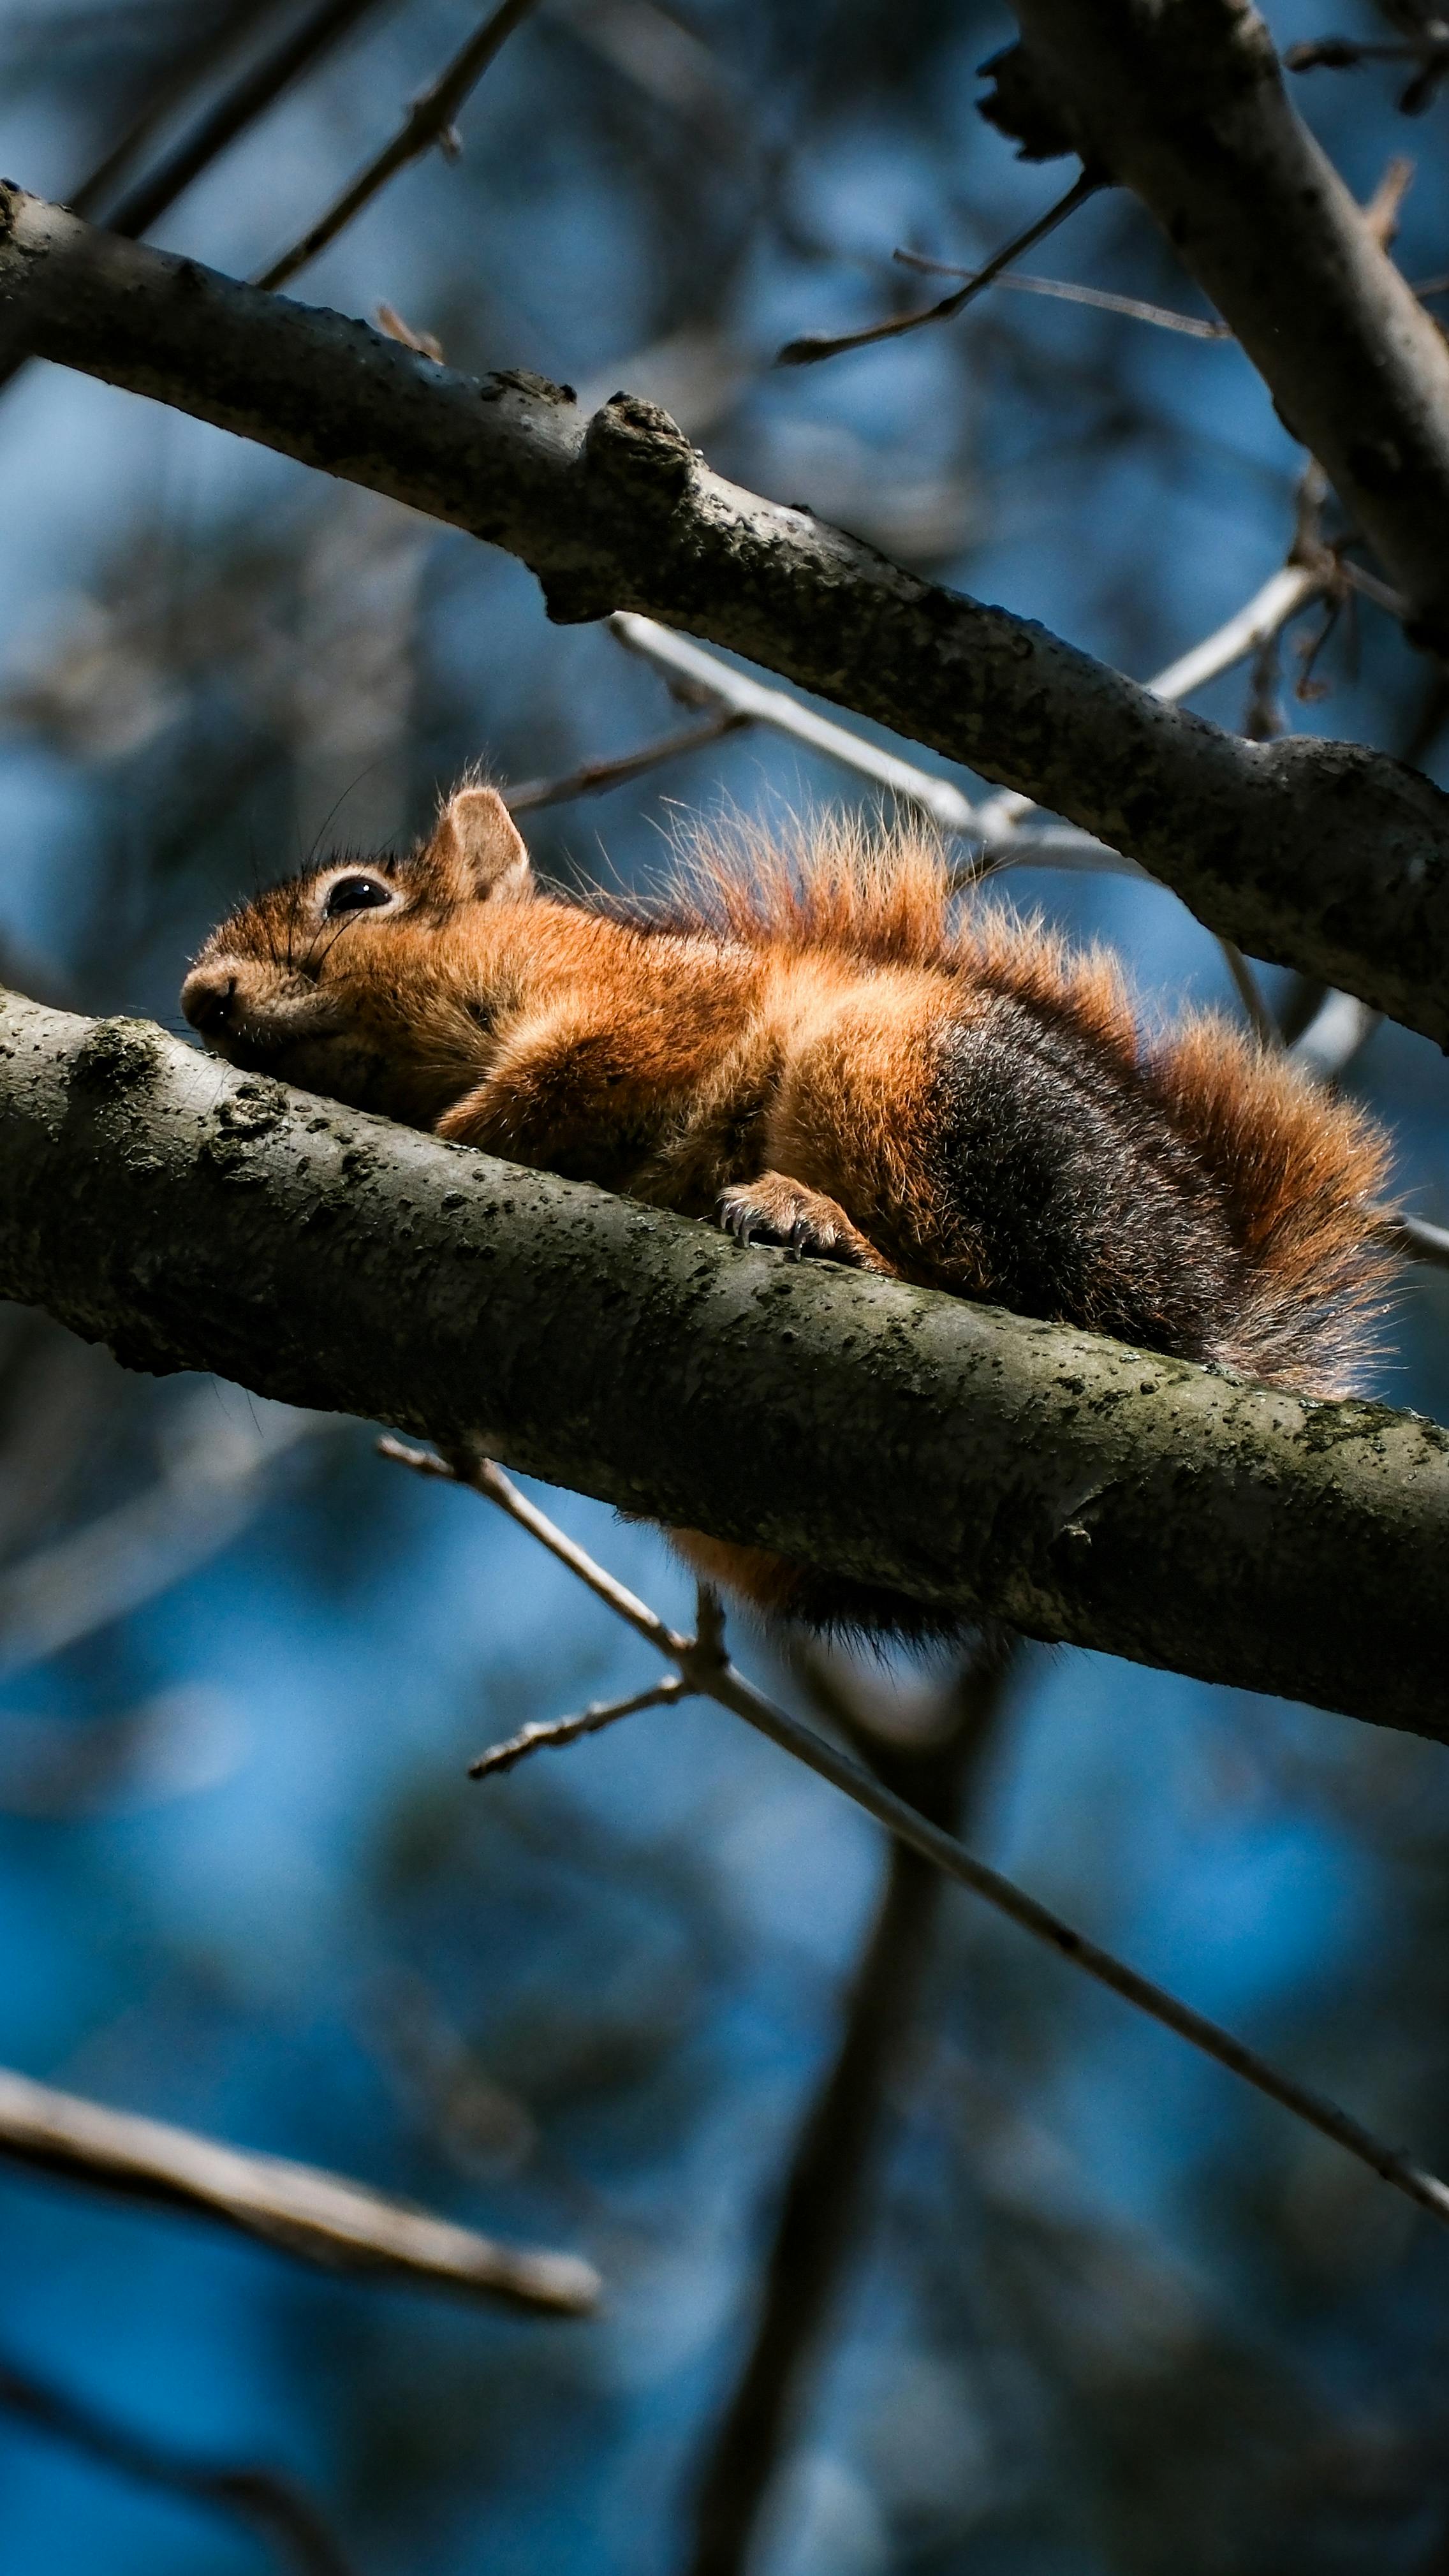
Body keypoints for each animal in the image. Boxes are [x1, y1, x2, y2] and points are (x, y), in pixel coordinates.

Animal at [181, 782, 1394, 1635]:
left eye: (358, 895)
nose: (201, 997)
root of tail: (1191, 1302)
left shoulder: (658, 1001)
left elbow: (575, 1068)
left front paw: (467, 1128)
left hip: (907, 1078)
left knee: (1014, 1290)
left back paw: (824, 1224)